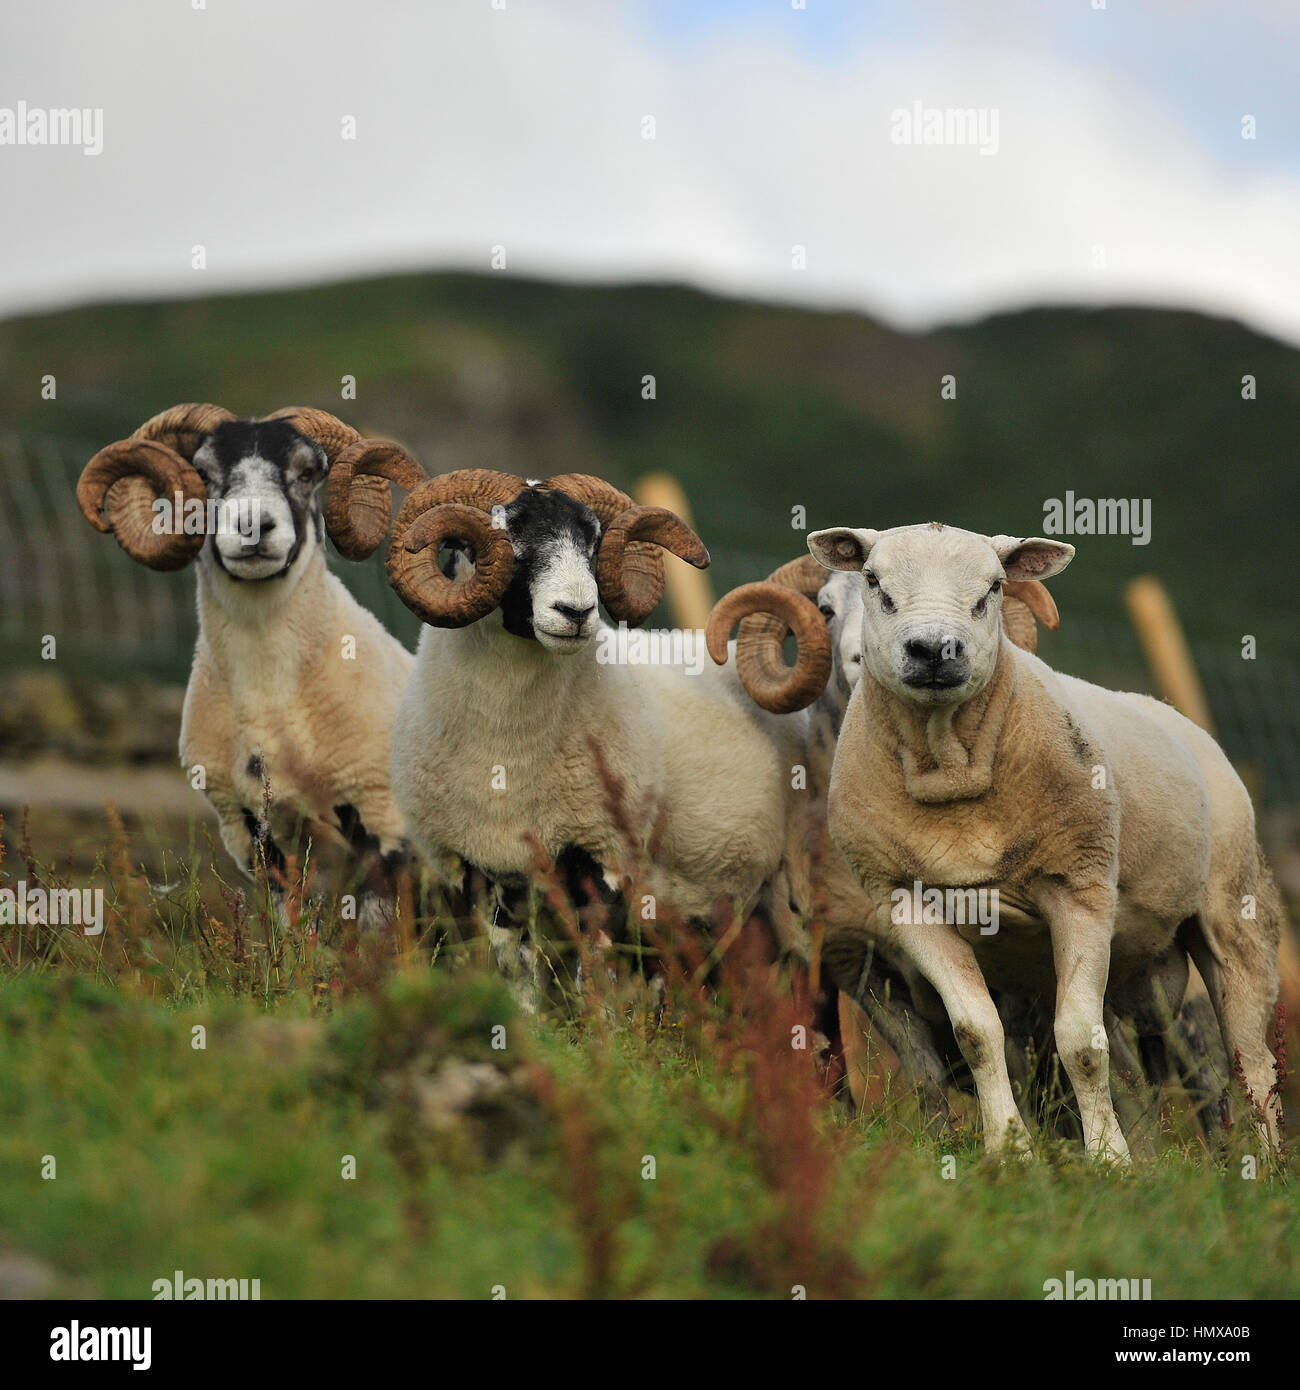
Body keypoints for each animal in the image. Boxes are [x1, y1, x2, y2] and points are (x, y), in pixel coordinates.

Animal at [76, 403, 425, 918]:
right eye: (203, 472)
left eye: (308, 472)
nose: (253, 526)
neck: (271, 694)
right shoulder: (249, 830)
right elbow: (295, 924)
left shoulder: (381, 816)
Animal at [378, 468, 812, 998]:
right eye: (503, 535)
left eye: (594, 541)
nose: (576, 612)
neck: (509, 750)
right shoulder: (483, 871)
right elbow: (516, 971)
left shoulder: (603, 856)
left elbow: (595, 971)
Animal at [795, 519, 1284, 1159]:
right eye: (874, 581)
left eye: (993, 588)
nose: (933, 650)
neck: (952, 769)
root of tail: (1178, 718)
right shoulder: (906, 904)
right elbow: (977, 1034)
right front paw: (1009, 1149)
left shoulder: (1080, 886)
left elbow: (1081, 1041)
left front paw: (1110, 1160)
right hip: (1139, 966)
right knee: (1151, 1071)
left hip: (1231, 912)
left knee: (1250, 1058)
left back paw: (1267, 1164)